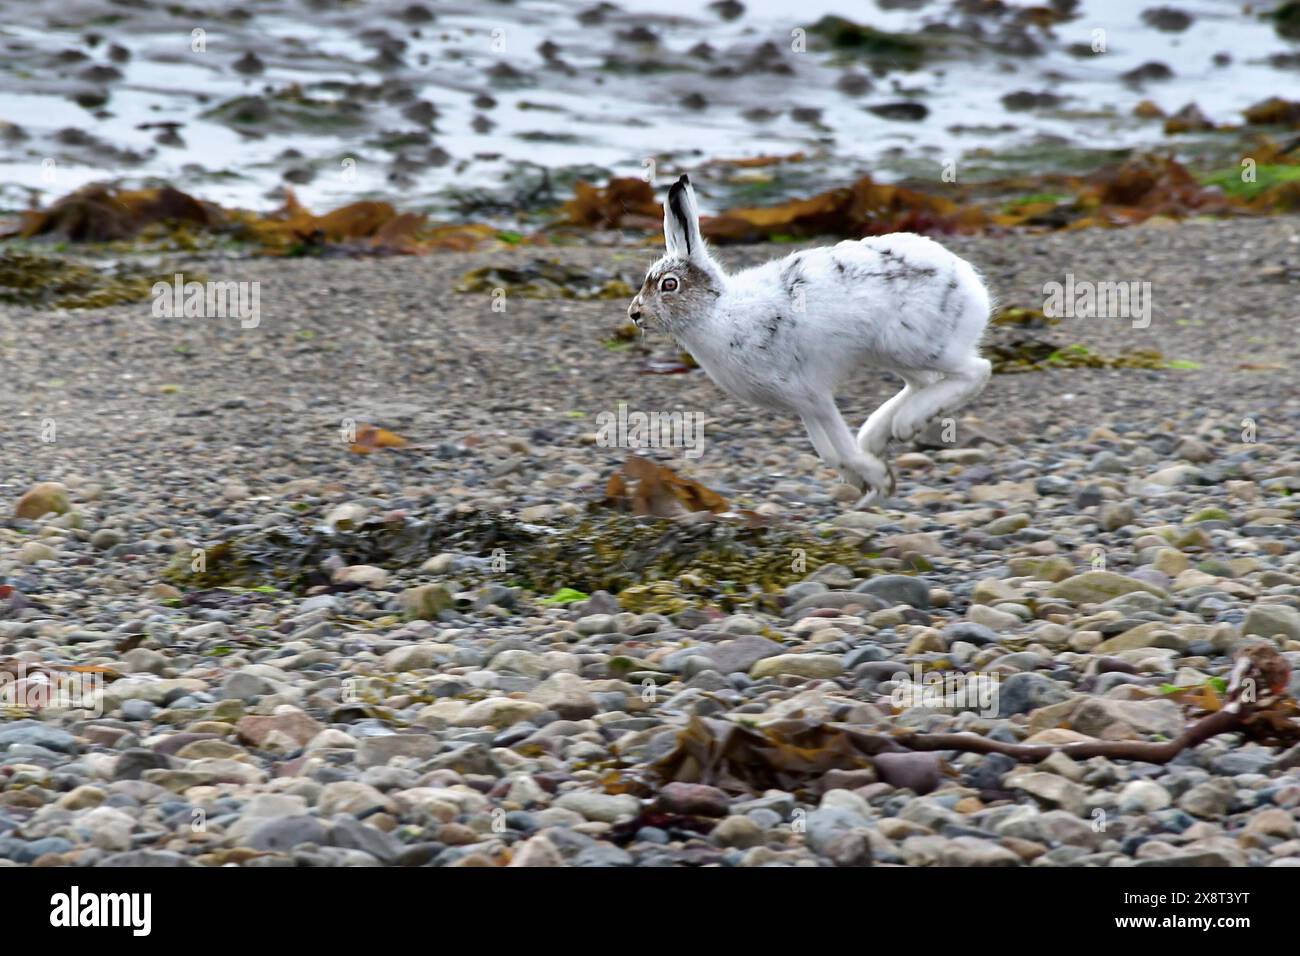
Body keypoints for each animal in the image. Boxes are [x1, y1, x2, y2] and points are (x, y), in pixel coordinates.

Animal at [627, 174, 992, 508]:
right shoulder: (804, 404)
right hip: (890, 353)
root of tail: (970, 284)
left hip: (916, 344)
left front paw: (879, 480)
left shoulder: (812, 395)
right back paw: (880, 434)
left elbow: (841, 449)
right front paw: (867, 483)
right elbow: (830, 454)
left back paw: (905, 423)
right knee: (924, 382)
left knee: (977, 370)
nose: (634, 314)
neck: (715, 310)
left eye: (669, 285)